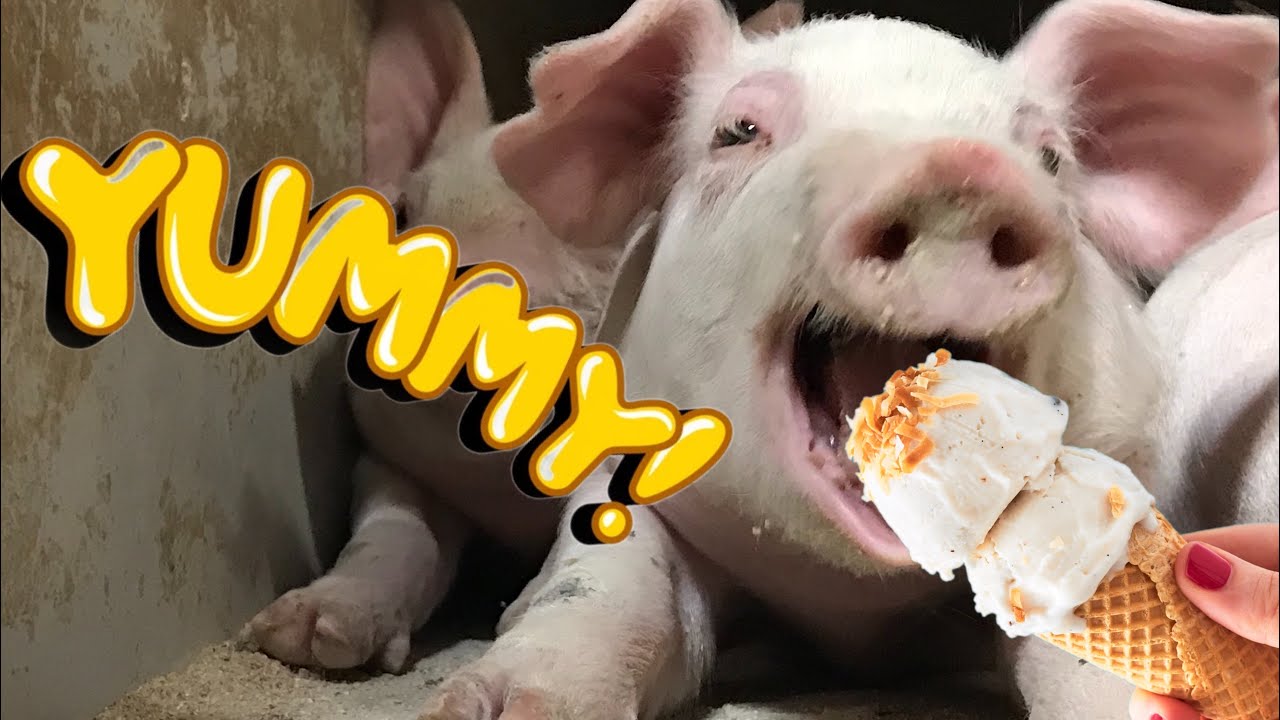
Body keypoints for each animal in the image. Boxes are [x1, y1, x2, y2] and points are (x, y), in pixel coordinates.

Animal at [398, 0, 1278, 718]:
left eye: (1051, 156)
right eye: (738, 132)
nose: (961, 170)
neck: (857, 613)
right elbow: (606, 582)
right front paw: (496, 708)